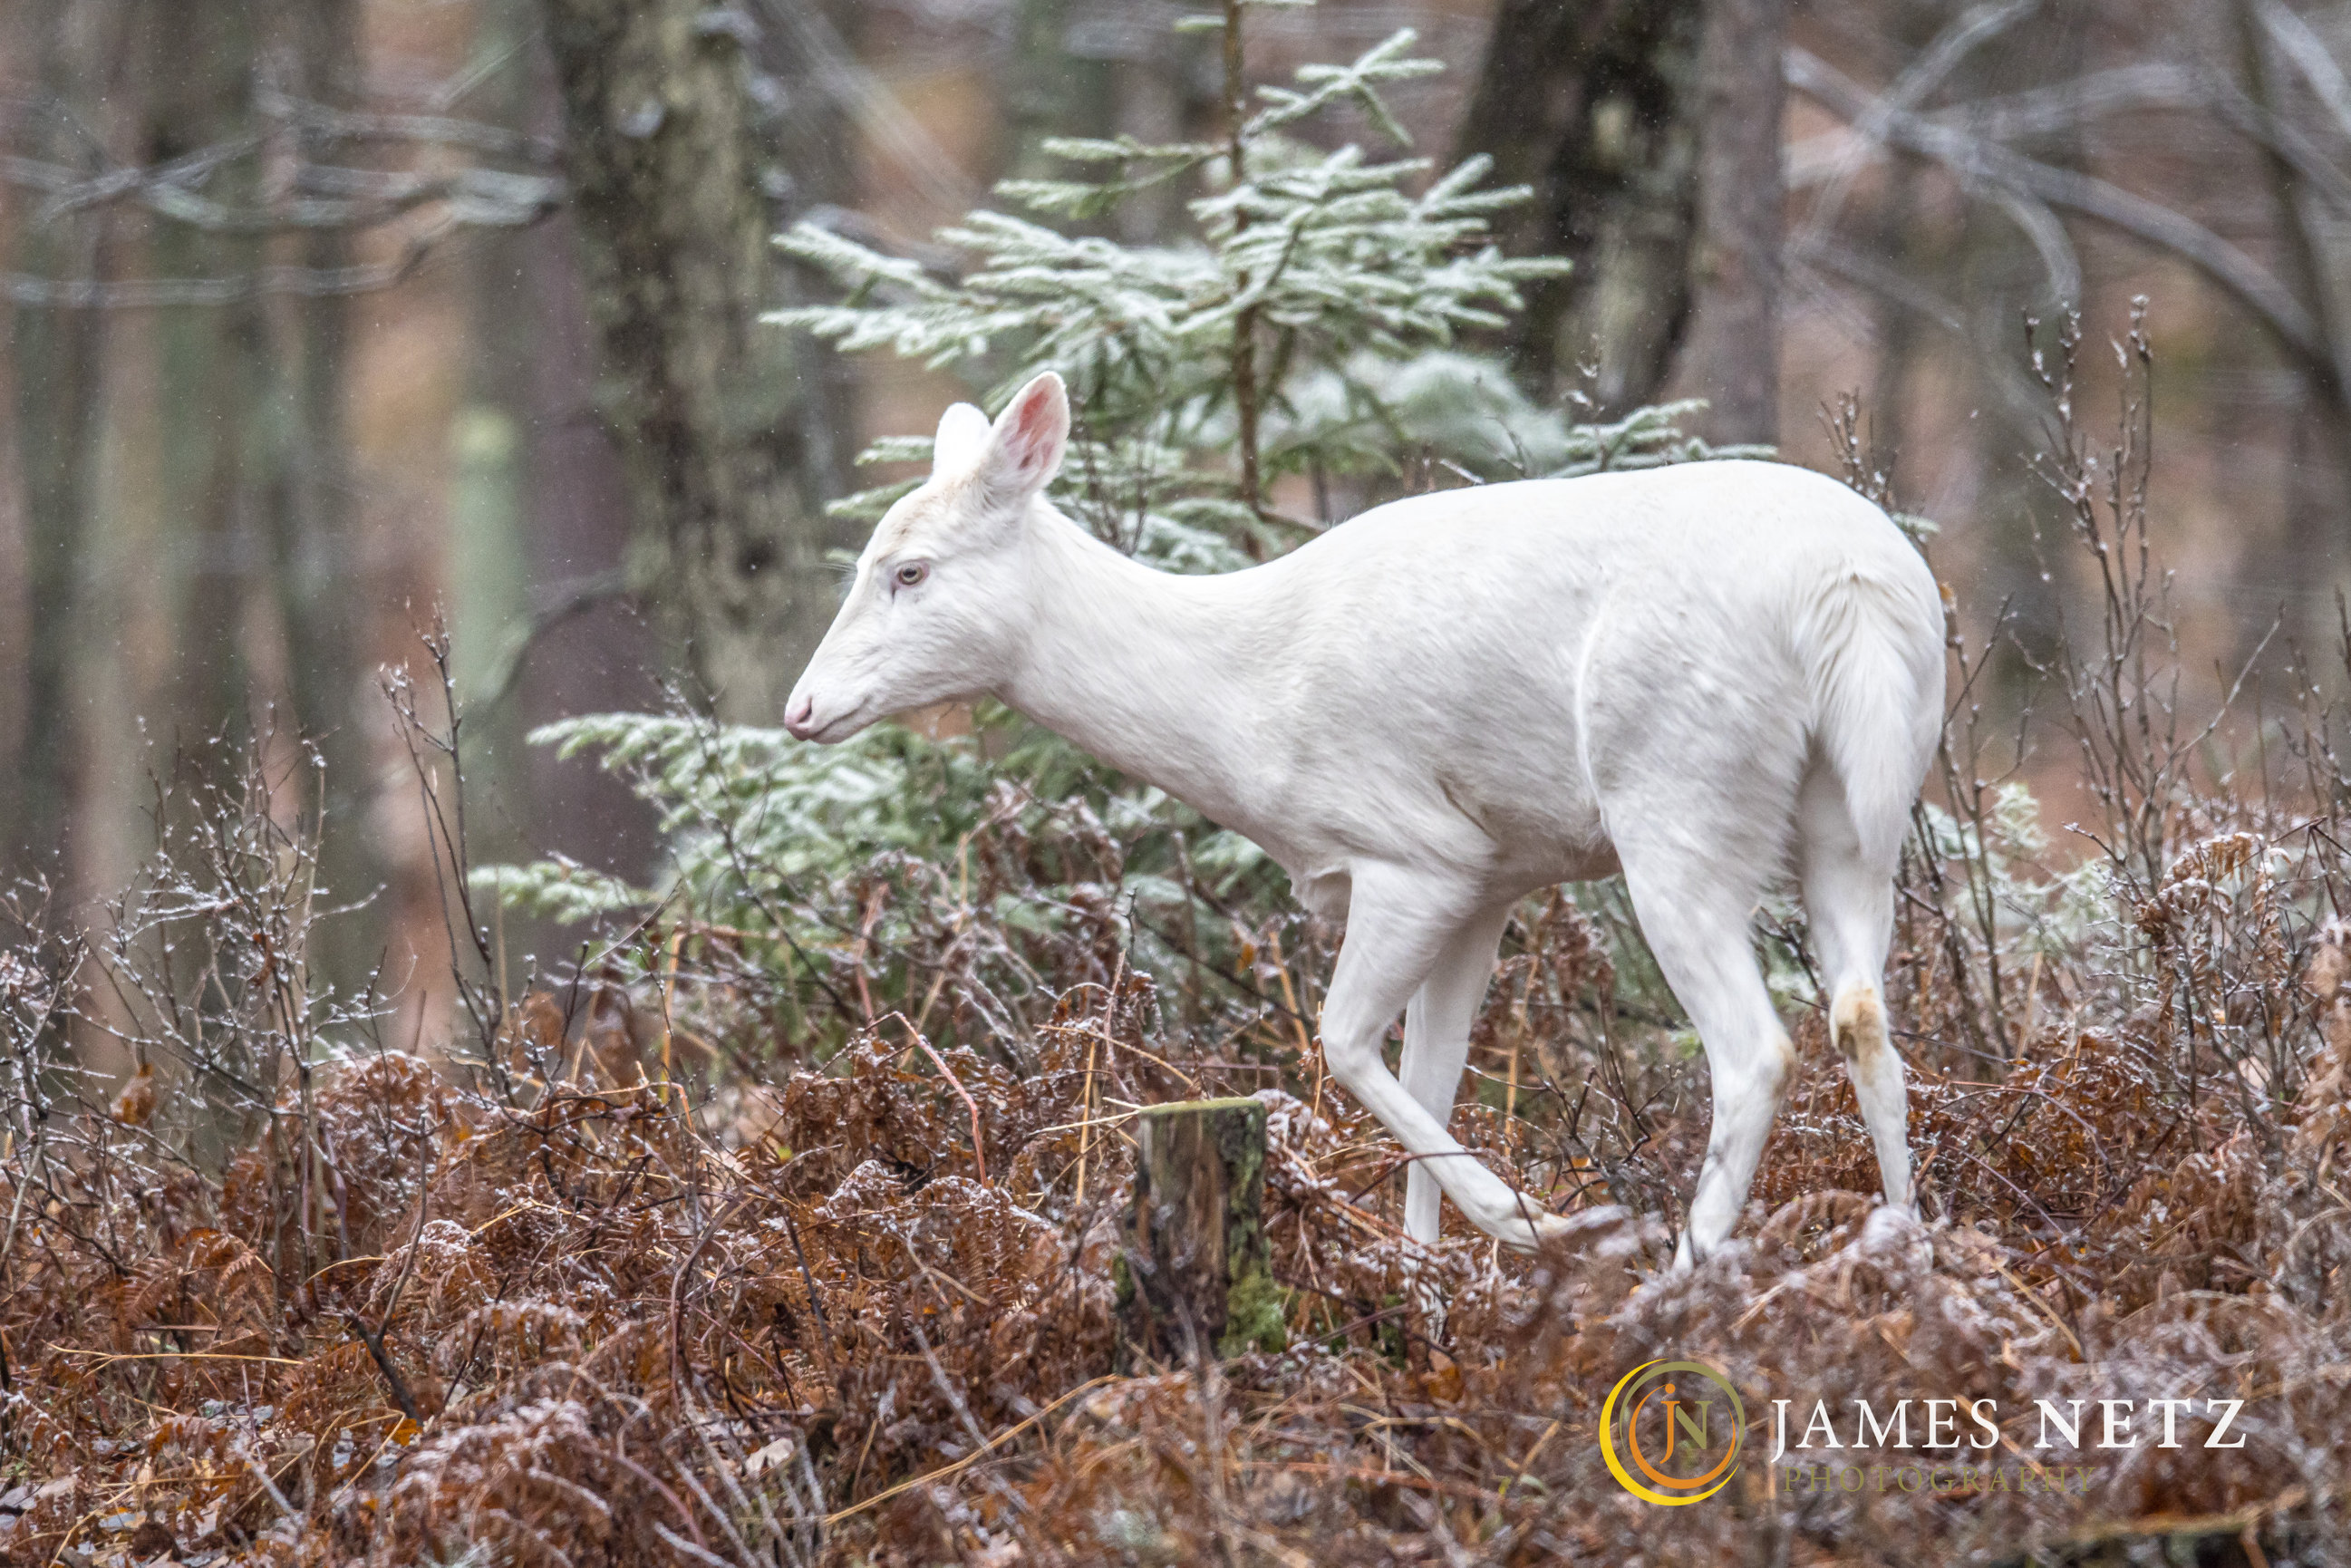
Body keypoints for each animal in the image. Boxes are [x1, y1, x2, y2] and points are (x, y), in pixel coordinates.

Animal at [785, 371, 1946, 1268]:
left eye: (909, 568)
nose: (800, 707)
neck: (1241, 709)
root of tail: (1852, 591)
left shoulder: (1412, 850)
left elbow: (1341, 1042)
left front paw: (1533, 1224)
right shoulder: (1492, 875)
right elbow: (1435, 1065)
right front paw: (1431, 1272)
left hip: (1675, 794)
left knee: (1756, 1050)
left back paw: (1674, 1278)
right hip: (1856, 810)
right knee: (1861, 1015)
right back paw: (1905, 1253)